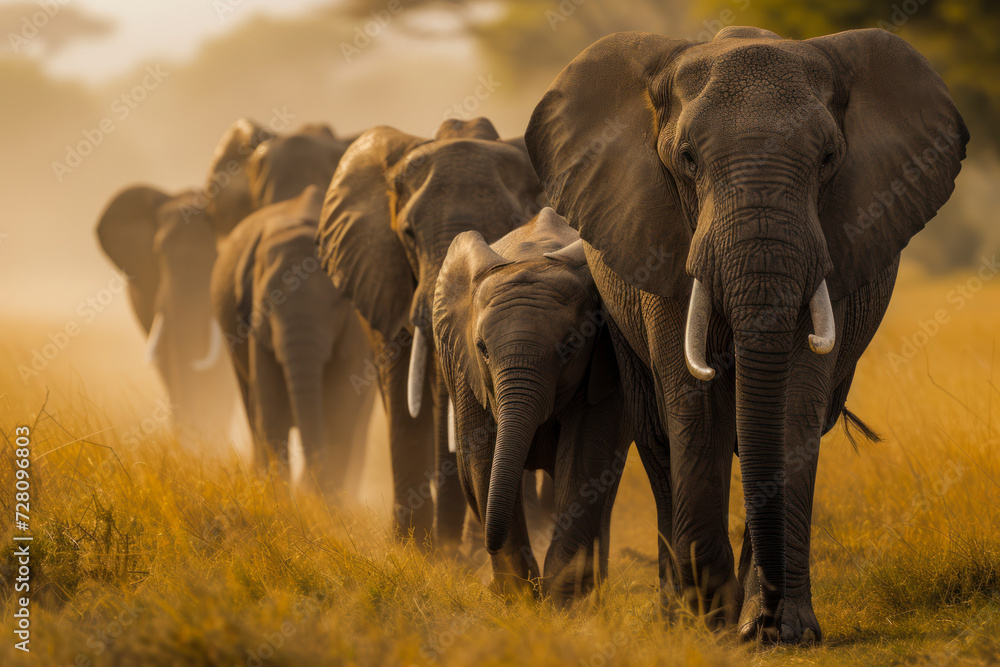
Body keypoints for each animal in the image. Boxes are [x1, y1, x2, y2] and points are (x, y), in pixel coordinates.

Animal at [212, 184, 374, 498]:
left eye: (338, 302)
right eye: (268, 302)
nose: (309, 488)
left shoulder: (357, 328)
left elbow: (341, 403)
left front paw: (325, 504)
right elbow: (271, 406)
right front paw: (277, 499)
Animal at [433, 207, 629, 603]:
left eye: (571, 347)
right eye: (483, 349)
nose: (482, 579)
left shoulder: (605, 365)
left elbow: (583, 459)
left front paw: (560, 600)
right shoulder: (467, 372)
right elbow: (480, 461)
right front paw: (519, 598)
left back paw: (592, 590)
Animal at [525, 27, 968, 642]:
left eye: (829, 158)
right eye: (687, 159)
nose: (763, 620)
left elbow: (795, 405)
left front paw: (781, 632)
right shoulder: (659, 235)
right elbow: (691, 403)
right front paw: (706, 622)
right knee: (658, 438)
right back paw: (681, 613)